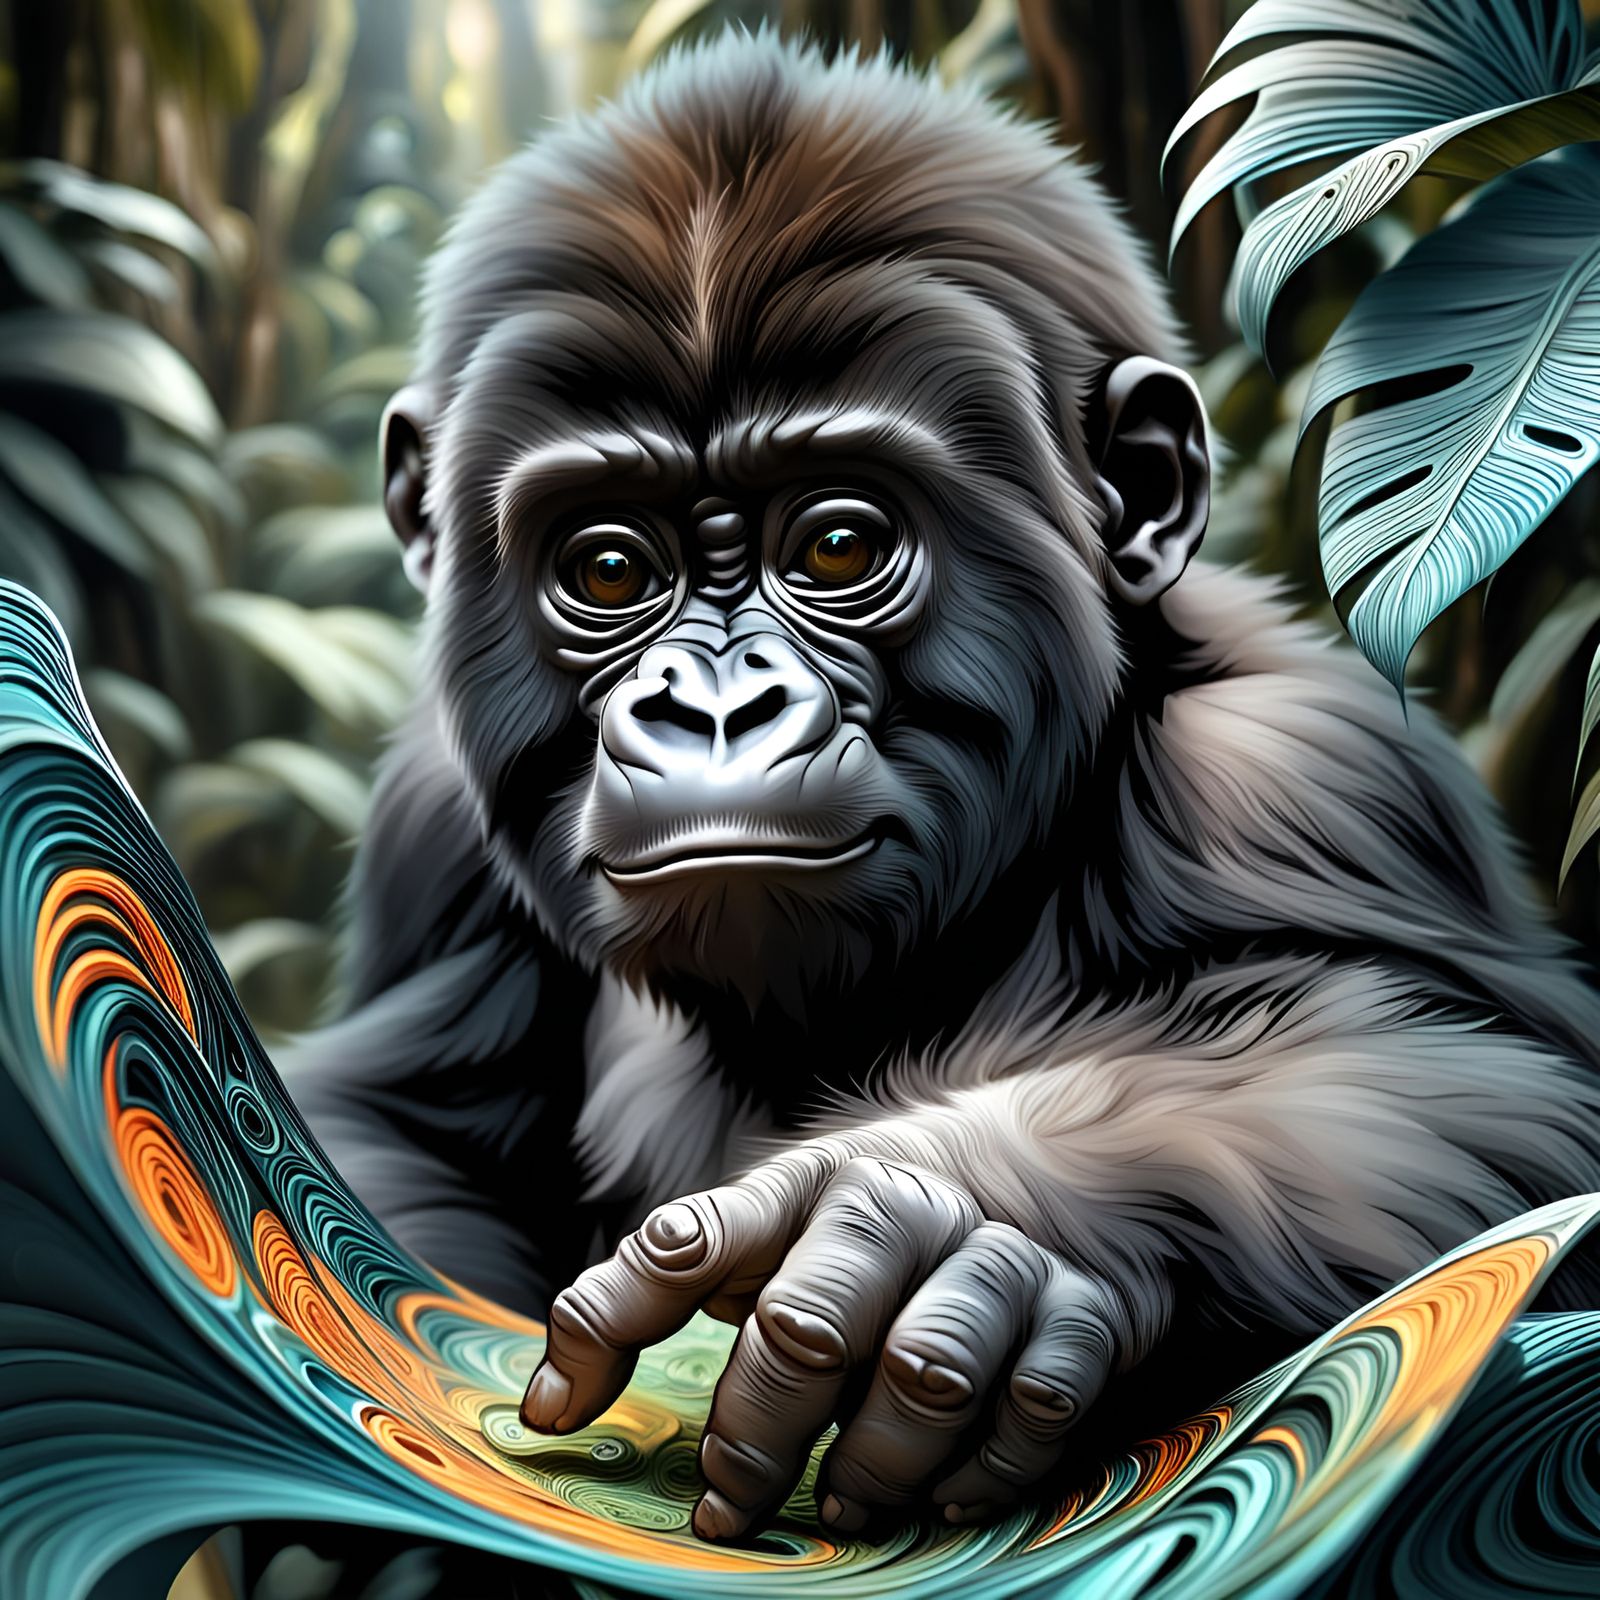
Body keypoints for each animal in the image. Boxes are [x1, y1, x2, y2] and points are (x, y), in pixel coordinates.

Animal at [283, 32, 1600, 1546]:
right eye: (608, 568)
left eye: (840, 545)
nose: (713, 708)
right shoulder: (430, 823)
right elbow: (386, 1121)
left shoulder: (1301, 769)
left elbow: (1499, 1102)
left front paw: (938, 1218)